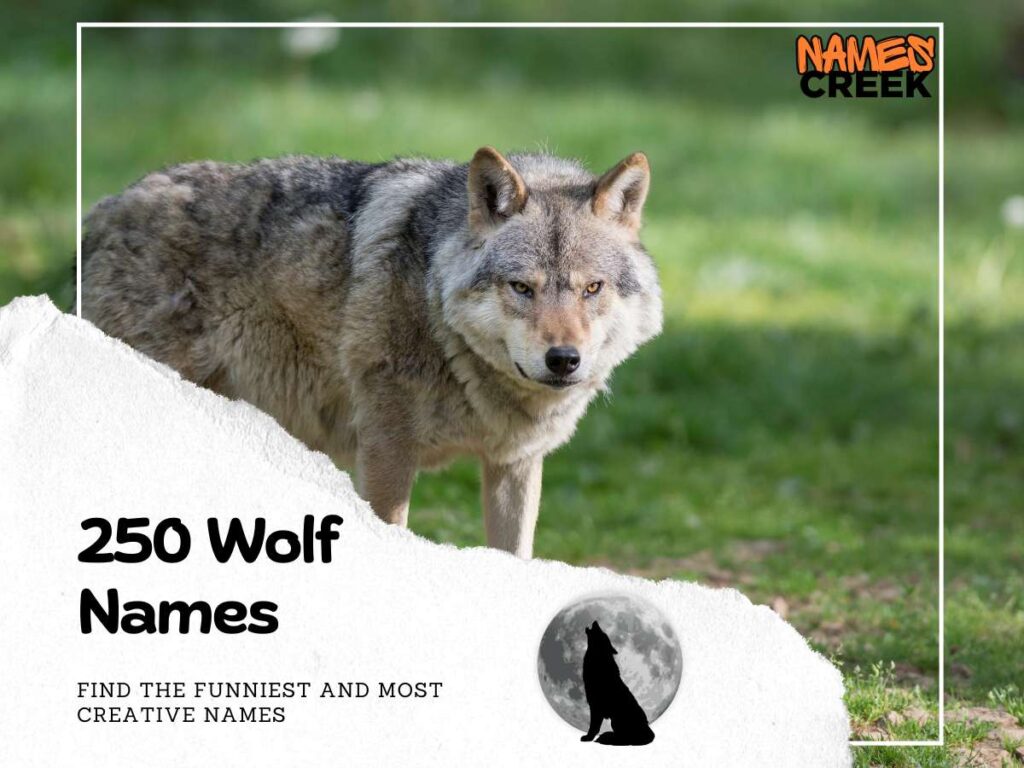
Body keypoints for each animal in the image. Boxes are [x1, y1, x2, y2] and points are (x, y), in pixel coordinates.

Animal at [80, 147, 662, 558]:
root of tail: (100, 215)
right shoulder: (386, 450)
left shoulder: (513, 464)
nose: (564, 359)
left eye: (592, 288)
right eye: (522, 288)